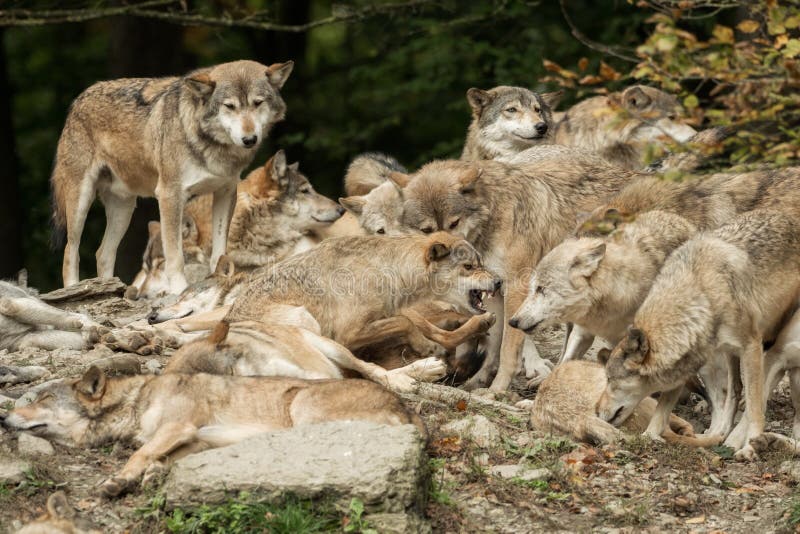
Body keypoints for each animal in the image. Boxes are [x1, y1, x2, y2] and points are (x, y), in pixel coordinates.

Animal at [3, 366, 425, 498]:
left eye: (42, 397)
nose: (5, 419)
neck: (136, 402)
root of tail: (407, 410)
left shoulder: (180, 425)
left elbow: (140, 453)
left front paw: (118, 481)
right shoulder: (197, 438)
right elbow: (161, 458)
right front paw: (150, 476)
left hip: (301, 405)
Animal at [52, 60, 293, 294]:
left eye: (257, 103)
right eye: (230, 106)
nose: (249, 139)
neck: (210, 144)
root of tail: (79, 99)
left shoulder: (225, 192)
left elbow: (219, 250)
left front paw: (221, 276)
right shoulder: (170, 195)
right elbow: (174, 255)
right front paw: (179, 289)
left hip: (124, 210)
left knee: (102, 254)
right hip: (80, 204)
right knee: (70, 252)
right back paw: (74, 290)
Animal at [393, 156, 643, 391]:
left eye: (454, 223)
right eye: (427, 230)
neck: (493, 216)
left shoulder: (517, 287)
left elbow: (507, 349)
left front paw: (497, 389)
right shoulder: (494, 291)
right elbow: (494, 343)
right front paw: (479, 383)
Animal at [596, 210, 800, 460]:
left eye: (609, 379)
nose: (595, 412)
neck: (702, 295)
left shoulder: (751, 346)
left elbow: (754, 407)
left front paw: (751, 445)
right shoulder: (687, 360)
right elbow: (663, 407)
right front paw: (649, 435)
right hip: (730, 354)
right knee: (733, 392)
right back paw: (721, 435)